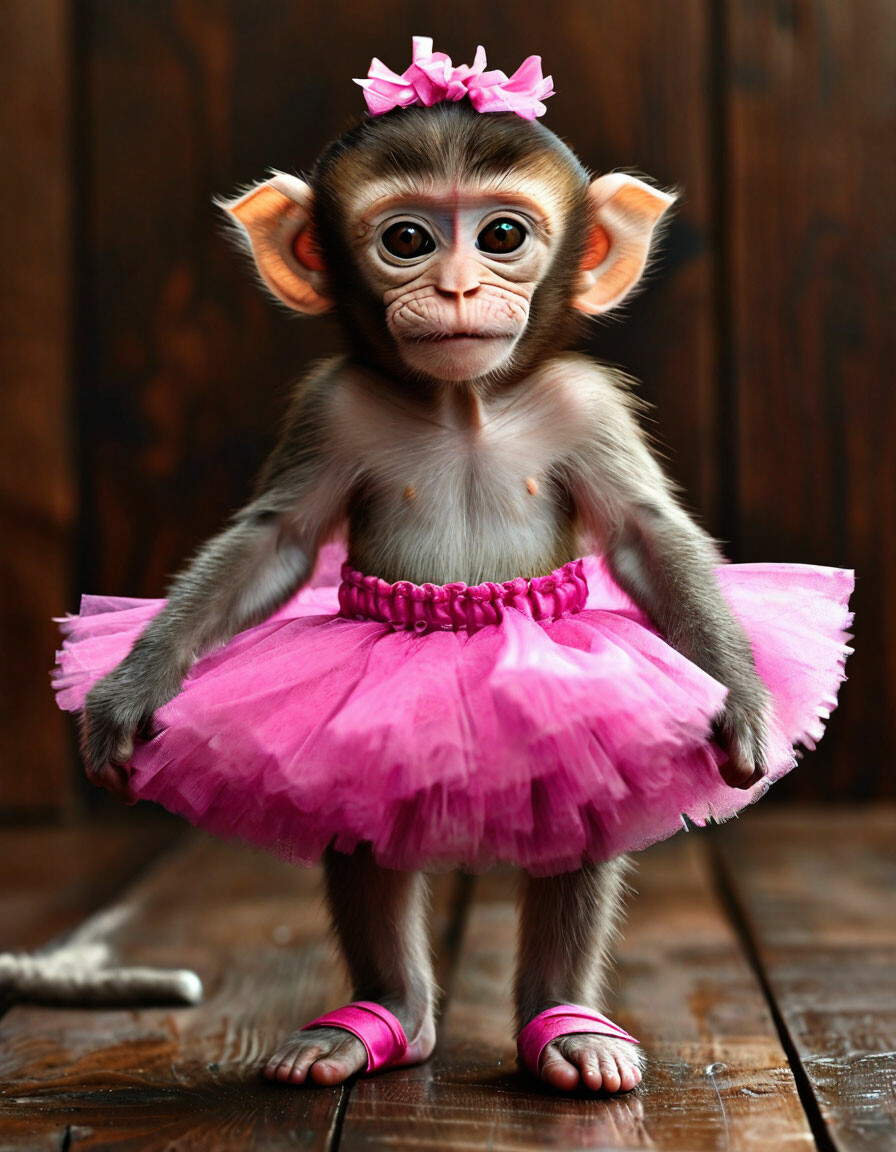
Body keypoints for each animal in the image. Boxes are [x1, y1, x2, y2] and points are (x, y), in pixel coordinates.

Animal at [58, 47, 852, 1095]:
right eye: (406, 239)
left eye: (503, 234)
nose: (462, 288)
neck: (466, 400)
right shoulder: (331, 406)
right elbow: (274, 544)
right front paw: (129, 686)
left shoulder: (586, 401)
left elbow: (646, 538)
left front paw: (747, 701)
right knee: (362, 829)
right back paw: (380, 1018)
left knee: (580, 811)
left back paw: (570, 1029)